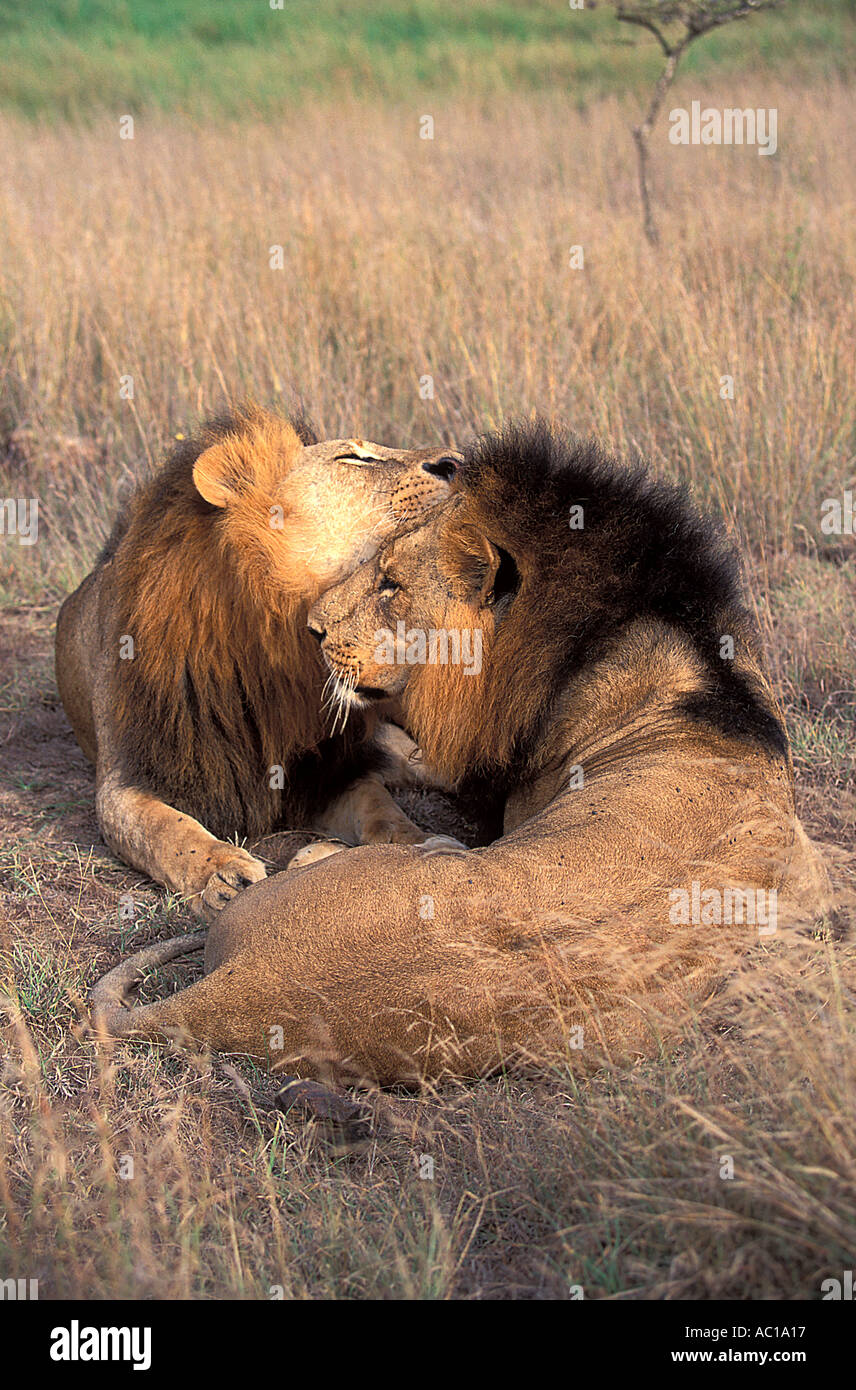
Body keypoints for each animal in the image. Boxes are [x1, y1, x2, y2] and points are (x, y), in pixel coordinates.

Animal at [57, 402, 459, 918]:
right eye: (353, 457)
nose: (458, 461)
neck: (275, 631)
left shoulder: (329, 768)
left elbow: (383, 813)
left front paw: (420, 844)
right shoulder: (129, 776)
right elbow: (165, 830)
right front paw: (220, 873)